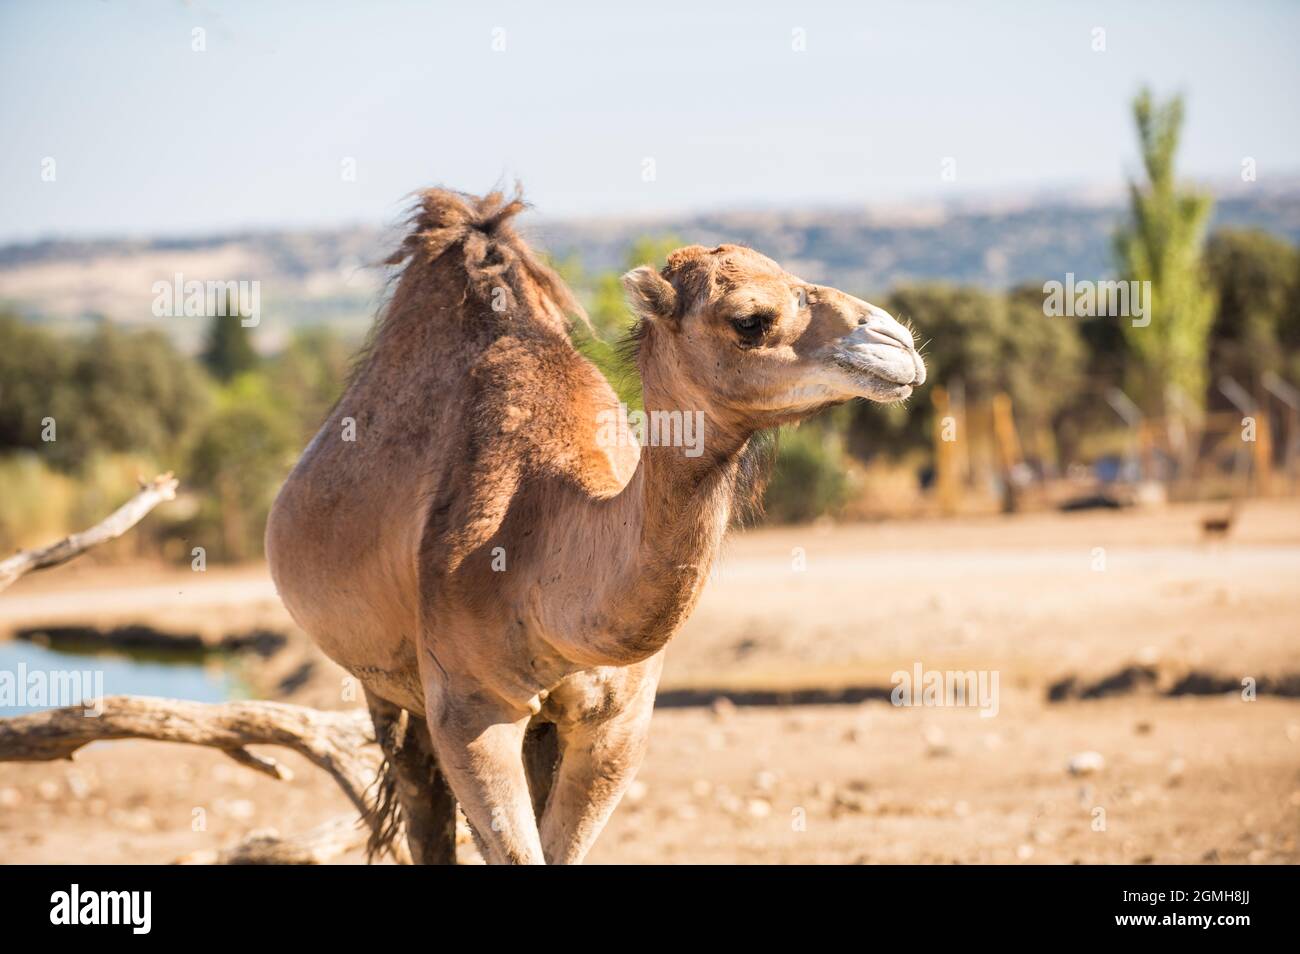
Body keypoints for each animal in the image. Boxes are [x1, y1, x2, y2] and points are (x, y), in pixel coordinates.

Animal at [265, 188, 926, 864]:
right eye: (750, 320)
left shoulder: (617, 721)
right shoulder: (470, 710)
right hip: (388, 690)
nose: (897, 344)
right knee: (422, 810)